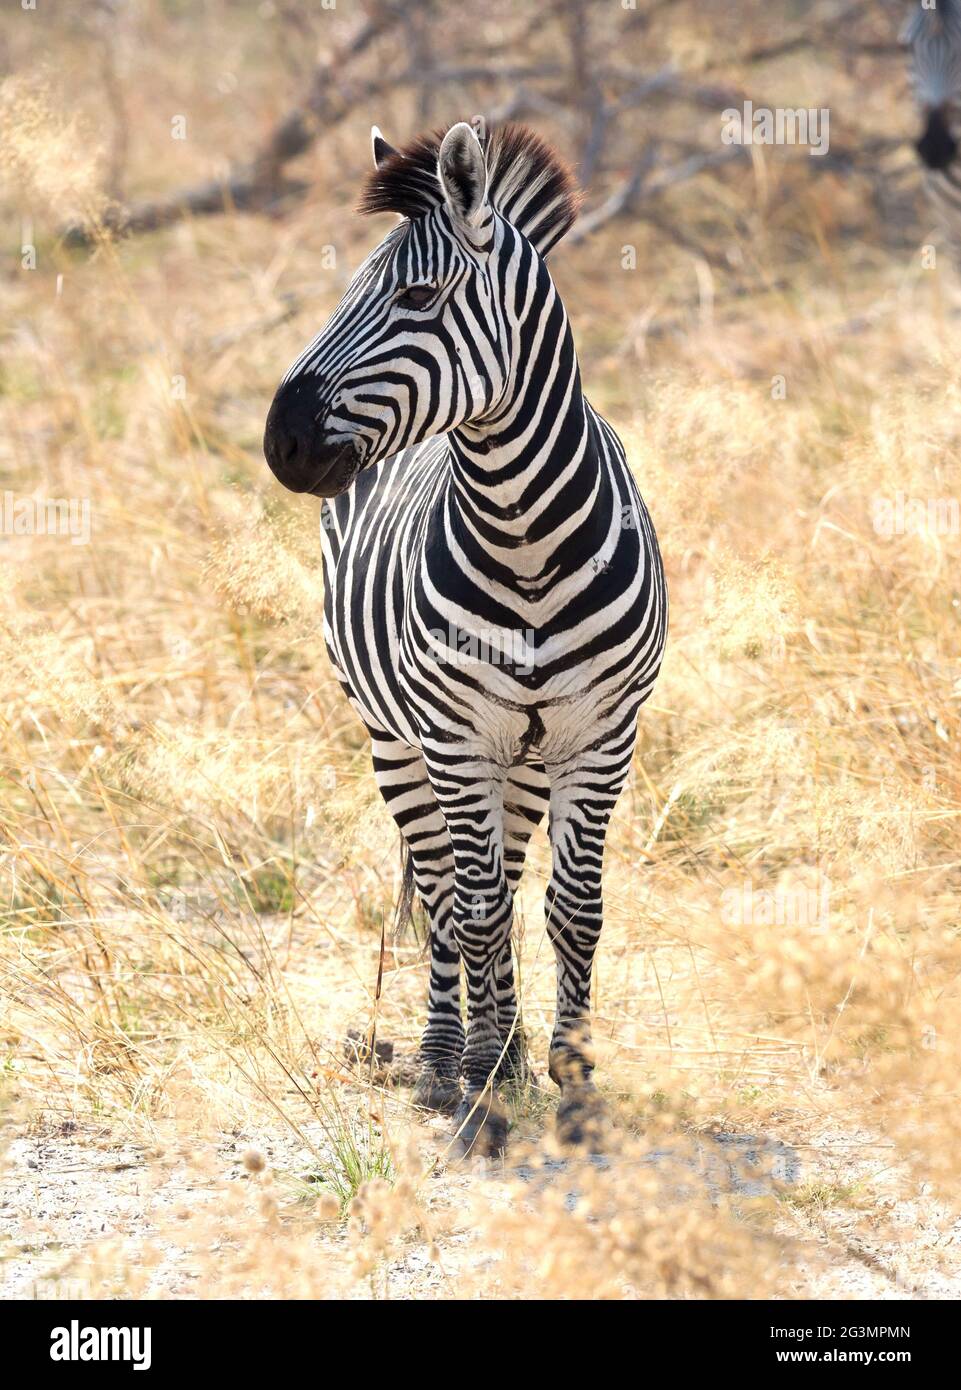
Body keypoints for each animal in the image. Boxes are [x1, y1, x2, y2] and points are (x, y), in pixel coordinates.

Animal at [263, 119, 668, 1155]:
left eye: (415, 298)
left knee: (506, 878)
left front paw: (572, 1086)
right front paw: (480, 1090)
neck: (525, 538)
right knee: (450, 889)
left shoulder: (601, 738)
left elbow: (572, 909)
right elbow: (476, 910)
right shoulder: (453, 738)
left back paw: (509, 1047)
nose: (281, 445)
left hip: (520, 759)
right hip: (398, 741)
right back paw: (448, 1060)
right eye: (342, 290)